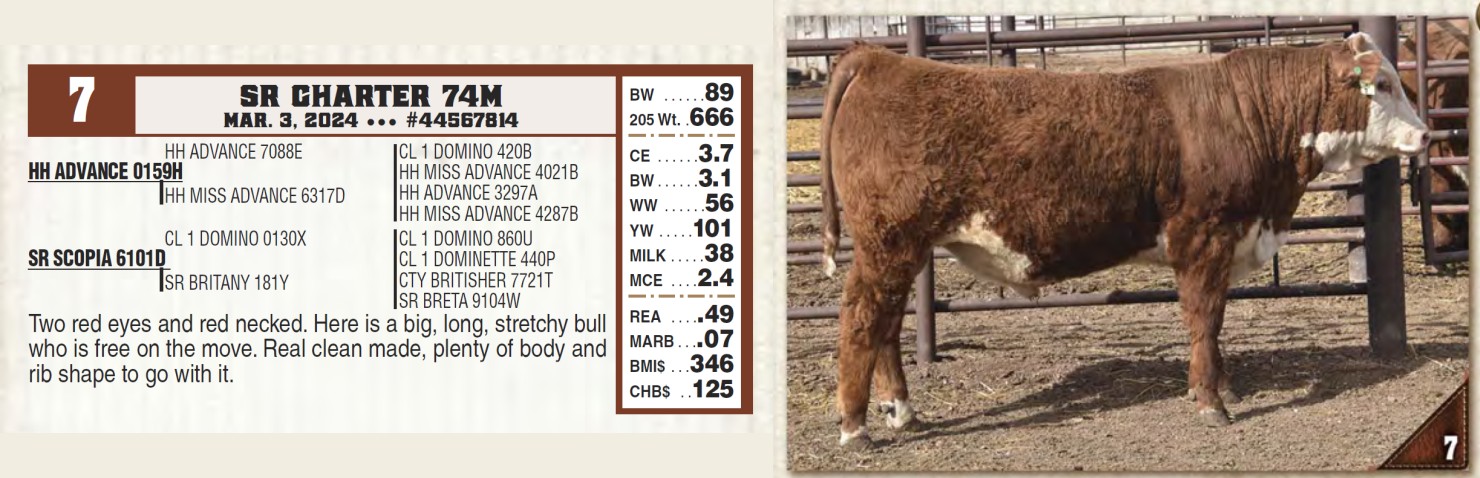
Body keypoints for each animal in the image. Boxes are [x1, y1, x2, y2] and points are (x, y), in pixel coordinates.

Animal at [817, 33, 1429, 449]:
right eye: (1383, 85)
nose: (1425, 134)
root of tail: (879, 58)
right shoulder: (1203, 238)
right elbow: (1204, 319)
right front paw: (1211, 402)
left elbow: (1215, 323)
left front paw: (1222, 388)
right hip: (887, 242)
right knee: (862, 318)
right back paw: (854, 426)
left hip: (903, 248)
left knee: (887, 324)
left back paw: (902, 410)